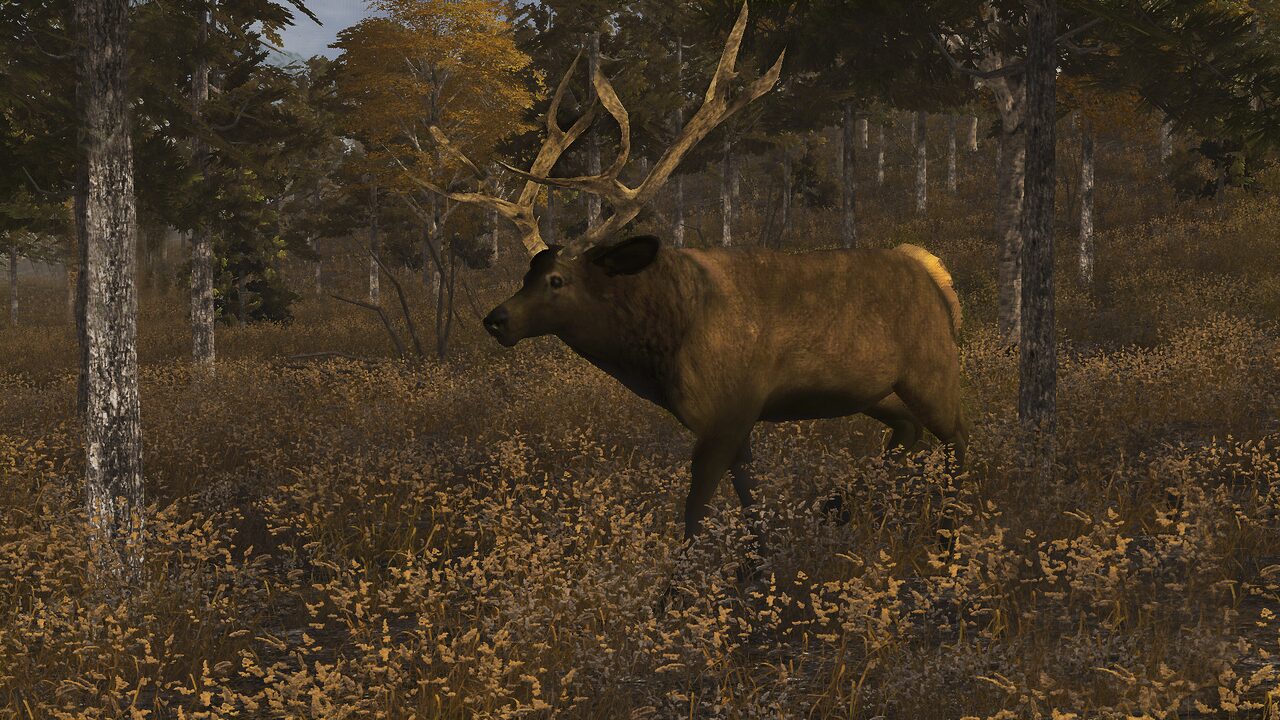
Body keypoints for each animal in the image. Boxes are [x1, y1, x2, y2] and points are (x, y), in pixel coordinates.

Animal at [418, 3, 967, 542]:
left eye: (558, 280)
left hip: (931, 367)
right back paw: (840, 510)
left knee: (958, 437)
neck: (663, 341)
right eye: (528, 274)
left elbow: (694, 517)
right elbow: (749, 503)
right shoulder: (732, 421)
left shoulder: (727, 413)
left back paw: (946, 540)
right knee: (908, 430)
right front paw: (764, 556)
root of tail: (935, 272)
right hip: (872, 388)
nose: (496, 319)